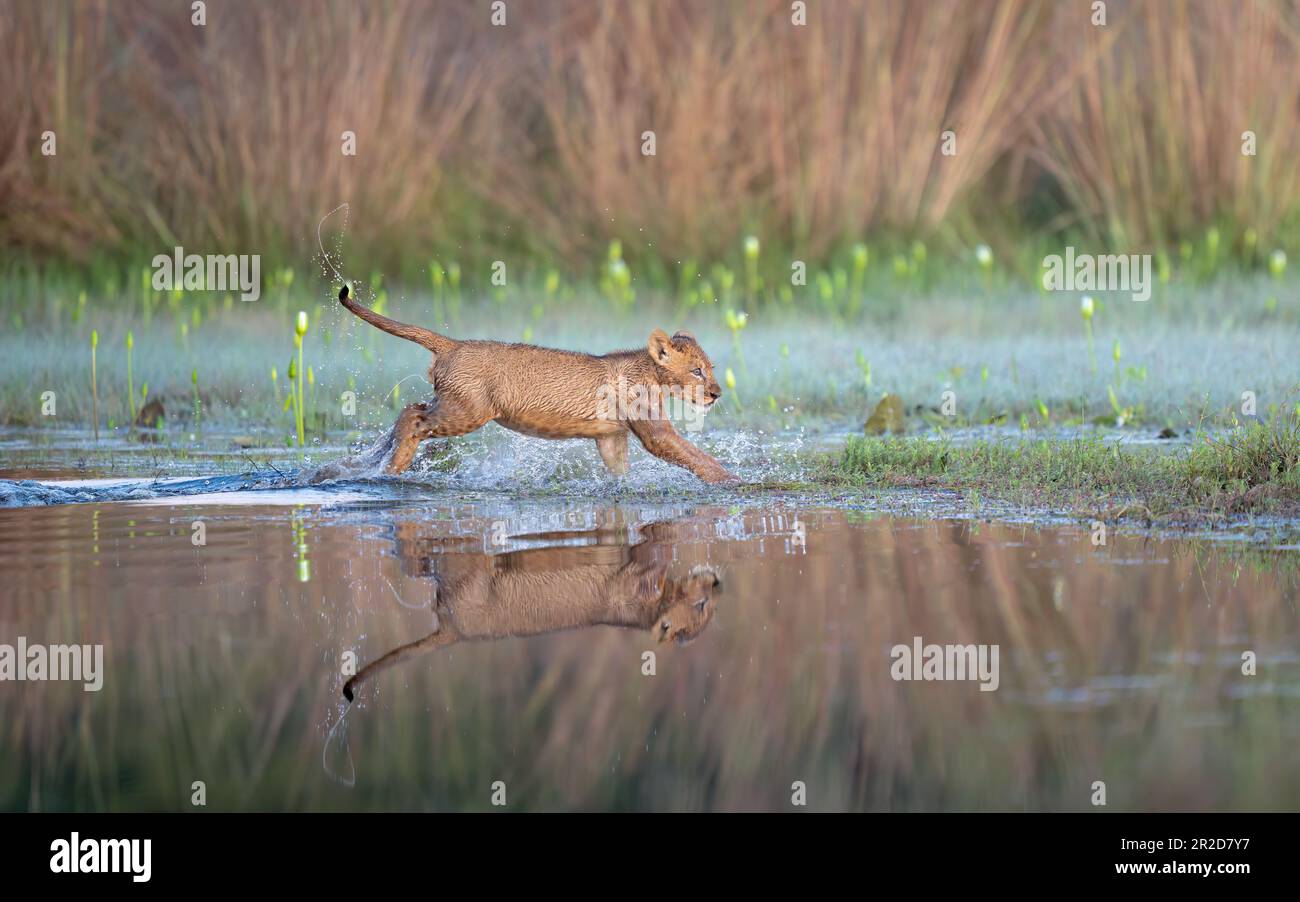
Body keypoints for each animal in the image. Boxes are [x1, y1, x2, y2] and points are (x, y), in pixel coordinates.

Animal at [333, 285, 737, 483]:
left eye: (710, 369)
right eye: (697, 372)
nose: (716, 393)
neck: (651, 372)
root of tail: (454, 344)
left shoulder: (611, 436)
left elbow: (620, 470)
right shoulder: (654, 432)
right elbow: (695, 455)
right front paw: (734, 481)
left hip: (450, 404)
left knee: (409, 411)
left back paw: (368, 465)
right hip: (468, 411)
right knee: (413, 419)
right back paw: (391, 468)